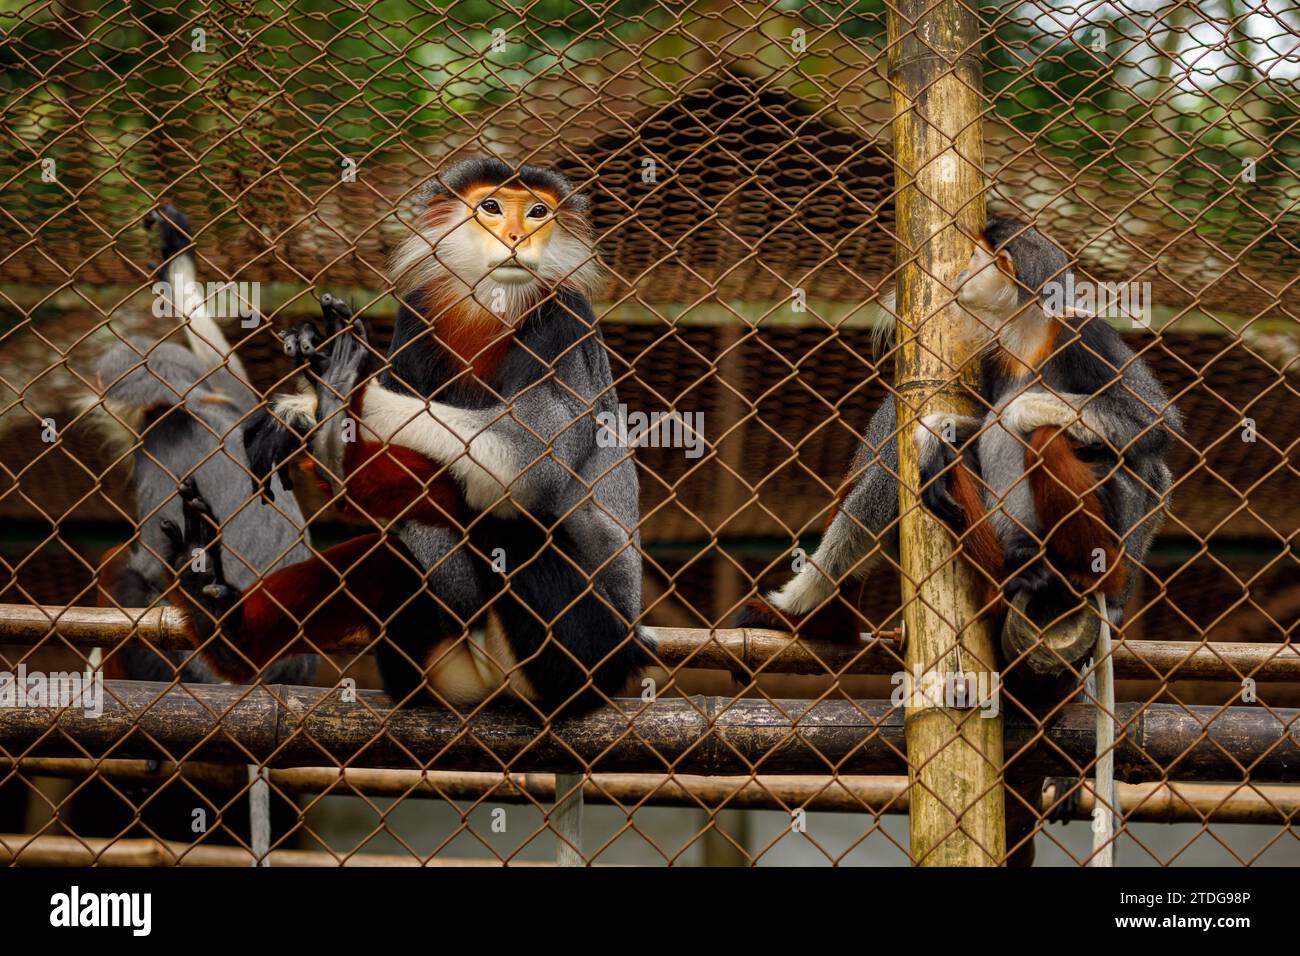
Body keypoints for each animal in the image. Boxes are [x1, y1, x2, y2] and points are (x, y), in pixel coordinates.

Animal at [90, 204, 318, 685]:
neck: (191, 405)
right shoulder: (232, 409)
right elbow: (240, 386)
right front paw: (178, 263)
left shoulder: (160, 439)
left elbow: (146, 570)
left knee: (122, 570)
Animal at [166, 158, 645, 713]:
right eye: (492, 206)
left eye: (538, 212)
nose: (516, 236)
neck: (492, 306)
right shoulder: (417, 313)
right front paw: (311, 407)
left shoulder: (566, 320)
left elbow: (528, 457)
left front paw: (318, 398)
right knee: (391, 553)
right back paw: (220, 620)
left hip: (582, 652)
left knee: (506, 517)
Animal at [740, 216, 1182, 637]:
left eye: (975, 257)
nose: (963, 274)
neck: (1030, 329)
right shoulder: (997, 357)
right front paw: (940, 433)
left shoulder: (1082, 332)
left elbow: (1157, 425)